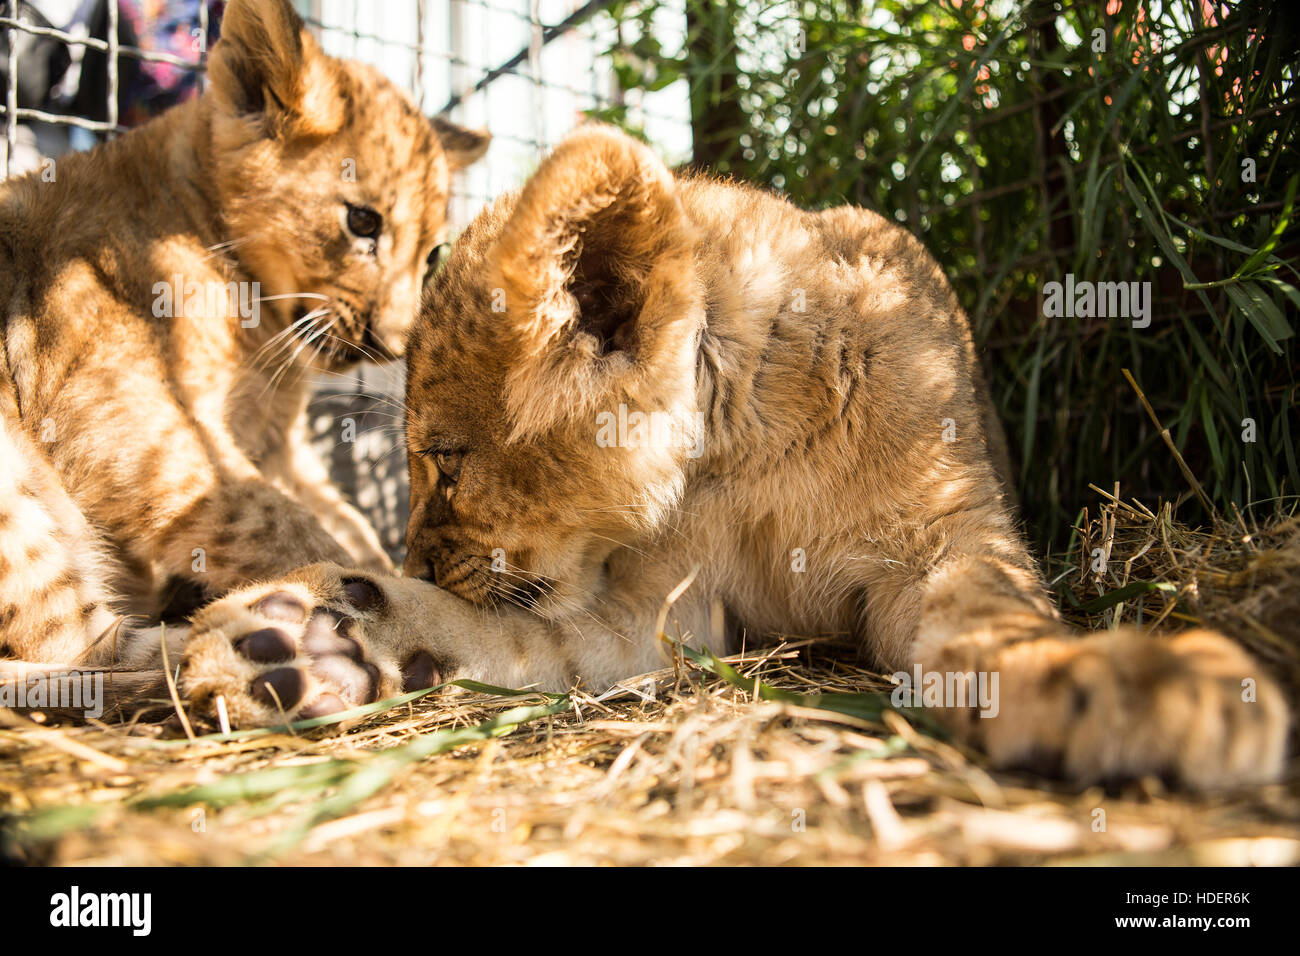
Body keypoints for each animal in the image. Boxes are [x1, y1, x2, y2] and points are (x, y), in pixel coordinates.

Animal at [0, 0, 486, 673]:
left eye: (433, 253)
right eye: (362, 221)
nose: (392, 345)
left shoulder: (278, 445)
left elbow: (337, 516)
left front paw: (381, 570)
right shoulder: (117, 416)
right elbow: (275, 519)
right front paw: (389, 593)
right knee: (82, 651)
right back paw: (296, 648)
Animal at [181, 126, 1286, 788]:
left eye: (448, 461)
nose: (413, 557)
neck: (740, 450)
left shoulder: (940, 532)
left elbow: (994, 615)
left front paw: (1140, 684)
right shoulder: (656, 615)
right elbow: (516, 640)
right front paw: (306, 640)